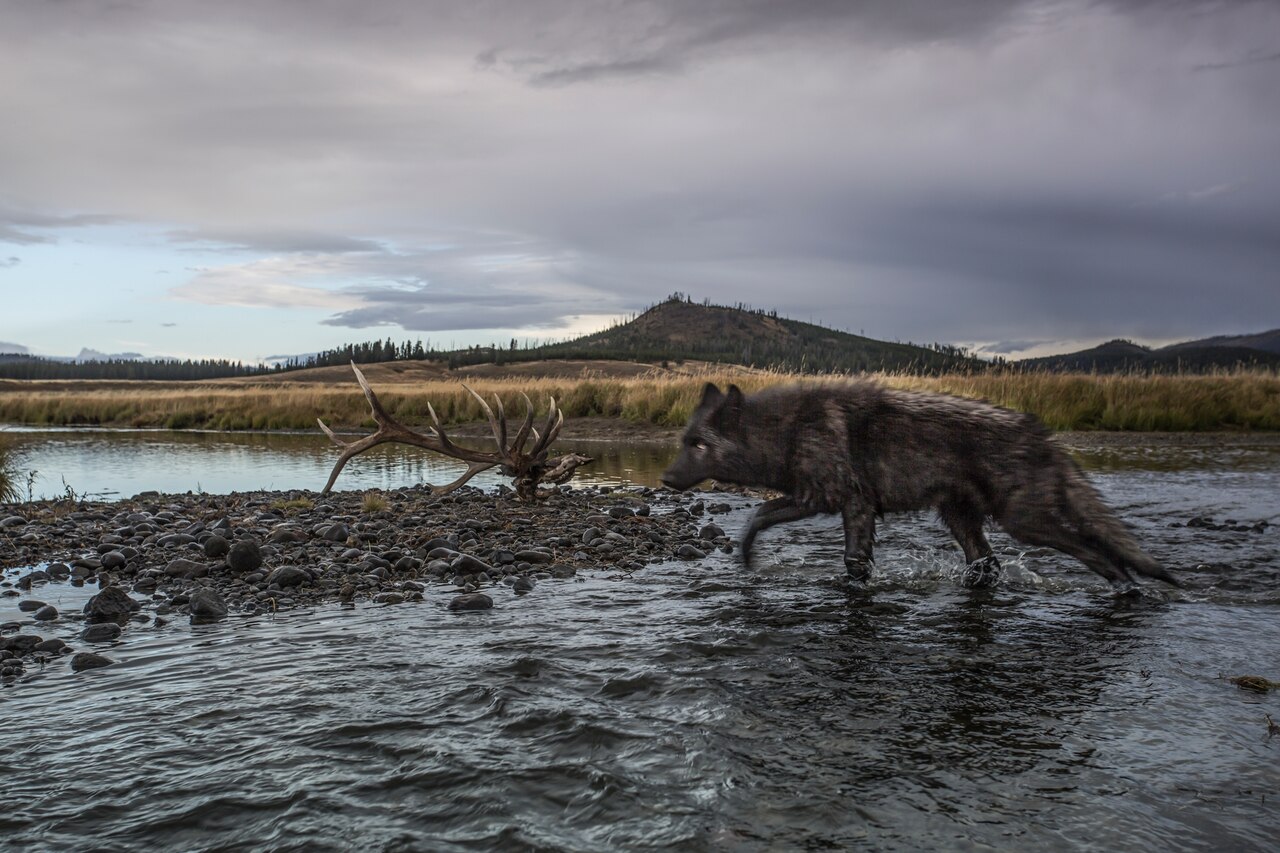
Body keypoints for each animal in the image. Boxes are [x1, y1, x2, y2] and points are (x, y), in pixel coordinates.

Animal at [661, 382, 1179, 590]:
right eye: (684, 442)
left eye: (699, 445)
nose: (665, 478)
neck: (783, 430)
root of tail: (1043, 434)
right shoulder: (848, 507)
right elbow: (766, 519)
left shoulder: (832, 500)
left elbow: (758, 516)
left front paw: (748, 560)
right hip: (962, 520)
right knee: (987, 563)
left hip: (1026, 522)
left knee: (1097, 553)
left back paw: (1127, 589)